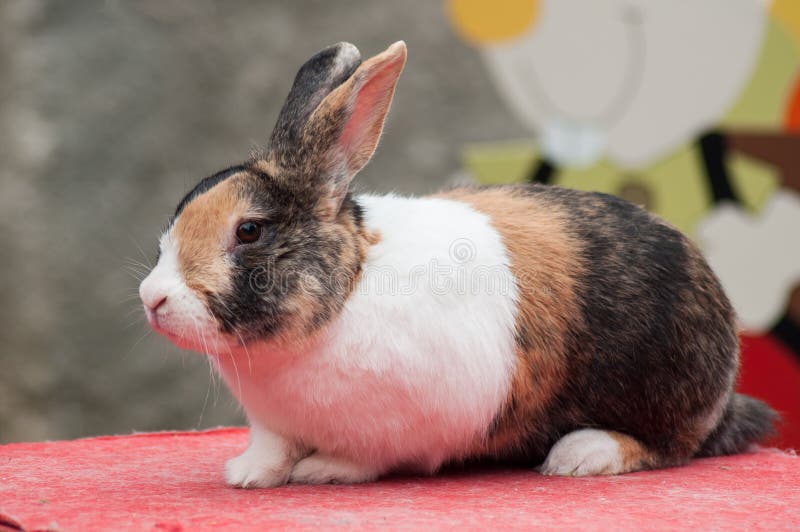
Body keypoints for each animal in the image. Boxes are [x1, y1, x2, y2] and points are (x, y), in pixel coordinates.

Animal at [139, 41, 776, 487]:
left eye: (248, 230)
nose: (152, 298)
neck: (348, 289)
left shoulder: (399, 426)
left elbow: (361, 456)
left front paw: (324, 470)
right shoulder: (272, 425)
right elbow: (271, 450)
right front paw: (248, 476)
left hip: (664, 391)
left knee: (671, 445)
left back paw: (579, 455)